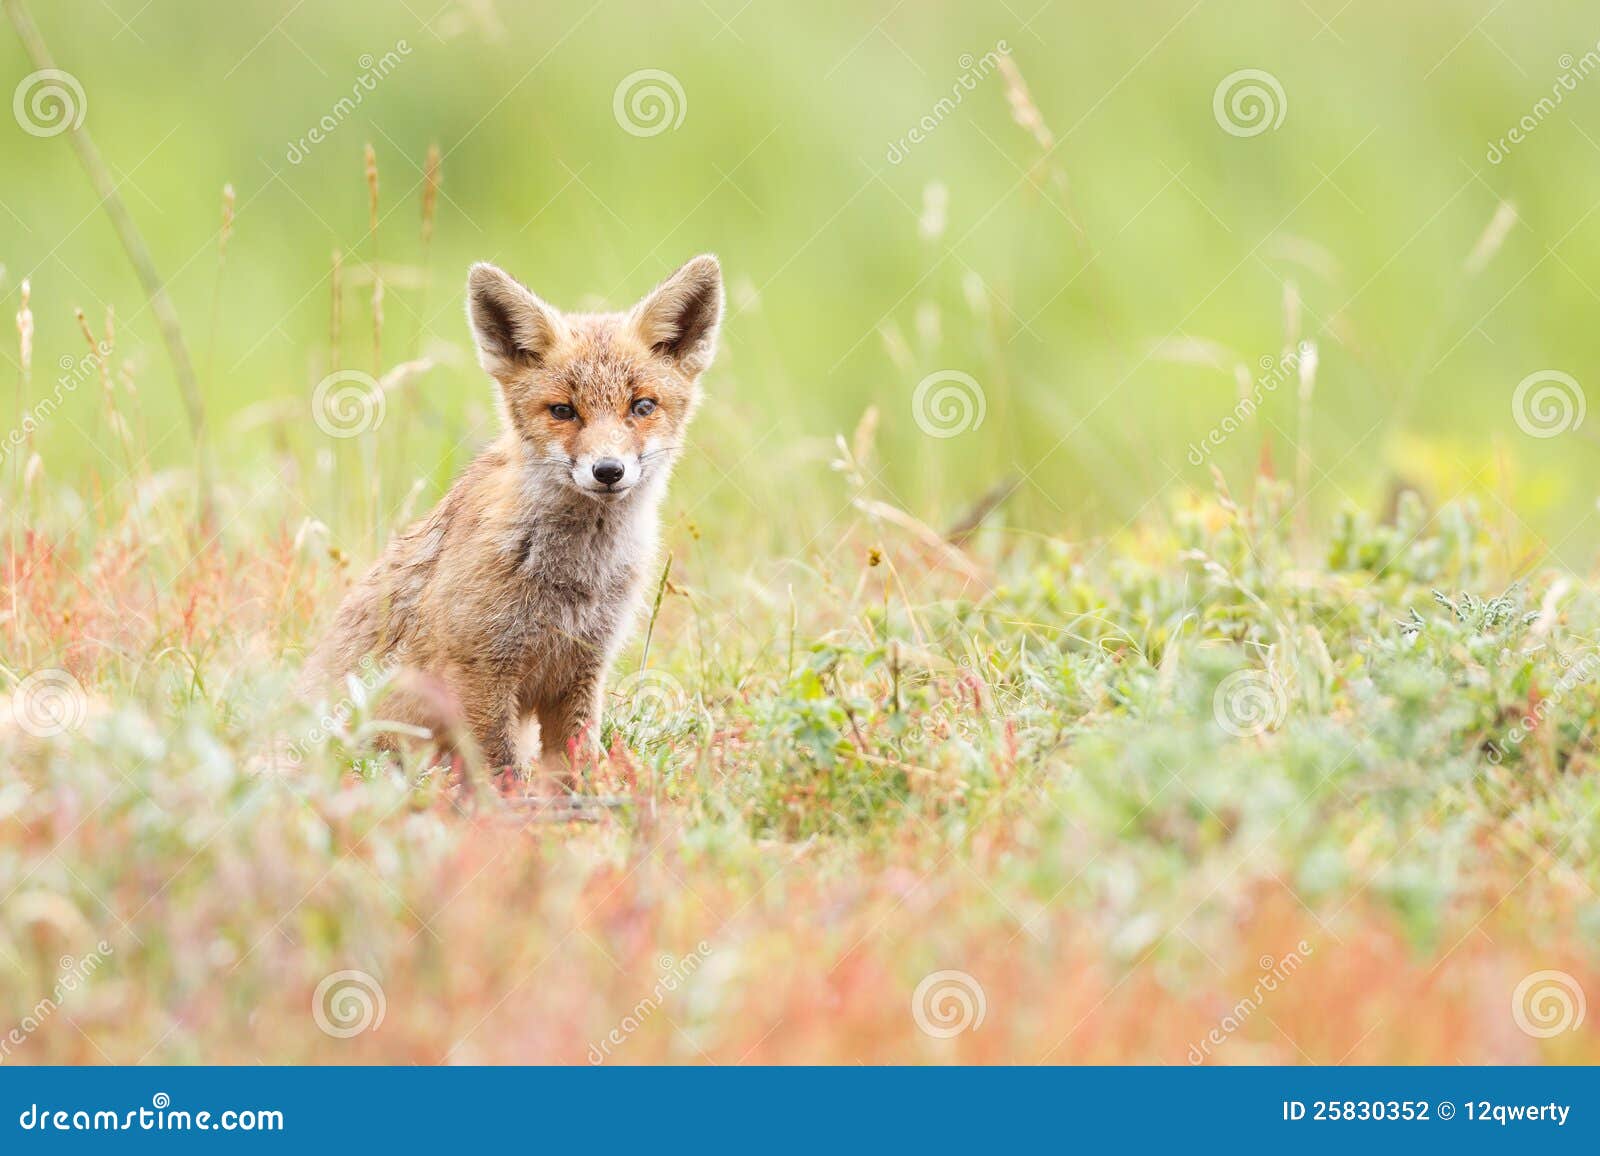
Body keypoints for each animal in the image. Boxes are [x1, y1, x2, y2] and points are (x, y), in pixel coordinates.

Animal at [302, 254, 722, 779]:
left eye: (641, 406)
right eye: (563, 410)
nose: (608, 470)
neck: (579, 578)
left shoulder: (584, 668)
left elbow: (575, 764)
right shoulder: (481, 671)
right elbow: (504, 772)